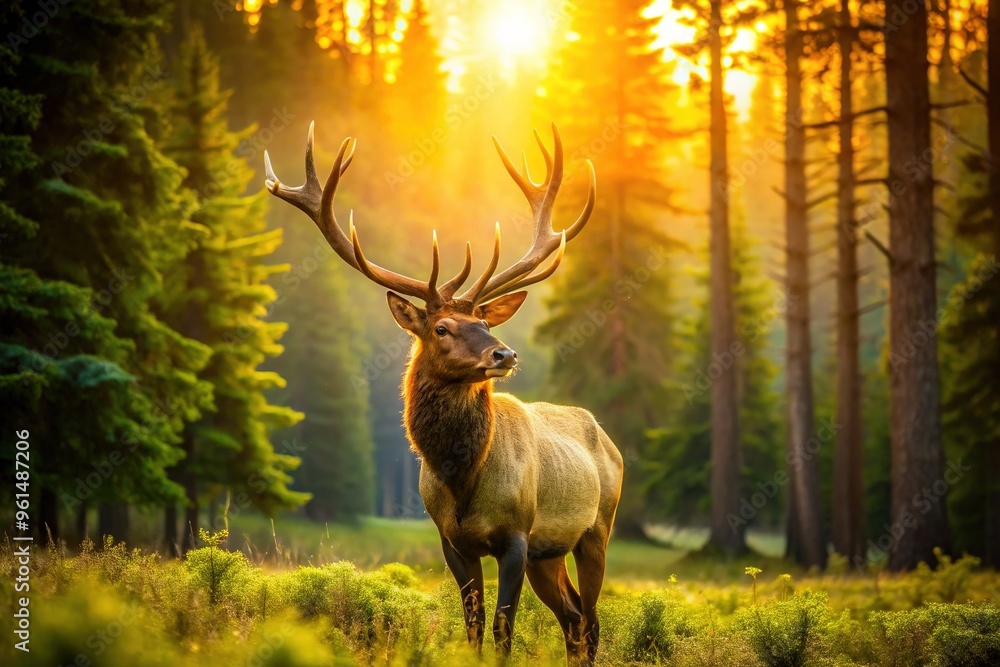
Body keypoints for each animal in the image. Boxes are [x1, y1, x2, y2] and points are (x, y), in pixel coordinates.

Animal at [264, 122, 623, 666]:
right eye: (441, 328)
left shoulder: (517, 534)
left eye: (484, 323)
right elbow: (473, 627)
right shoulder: (452, 542)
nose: (504, 354)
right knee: (575, 617)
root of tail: (609, 439)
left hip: (596, 529)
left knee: (592, 619)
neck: (462, 477)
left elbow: (502, 629)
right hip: (550, 553)